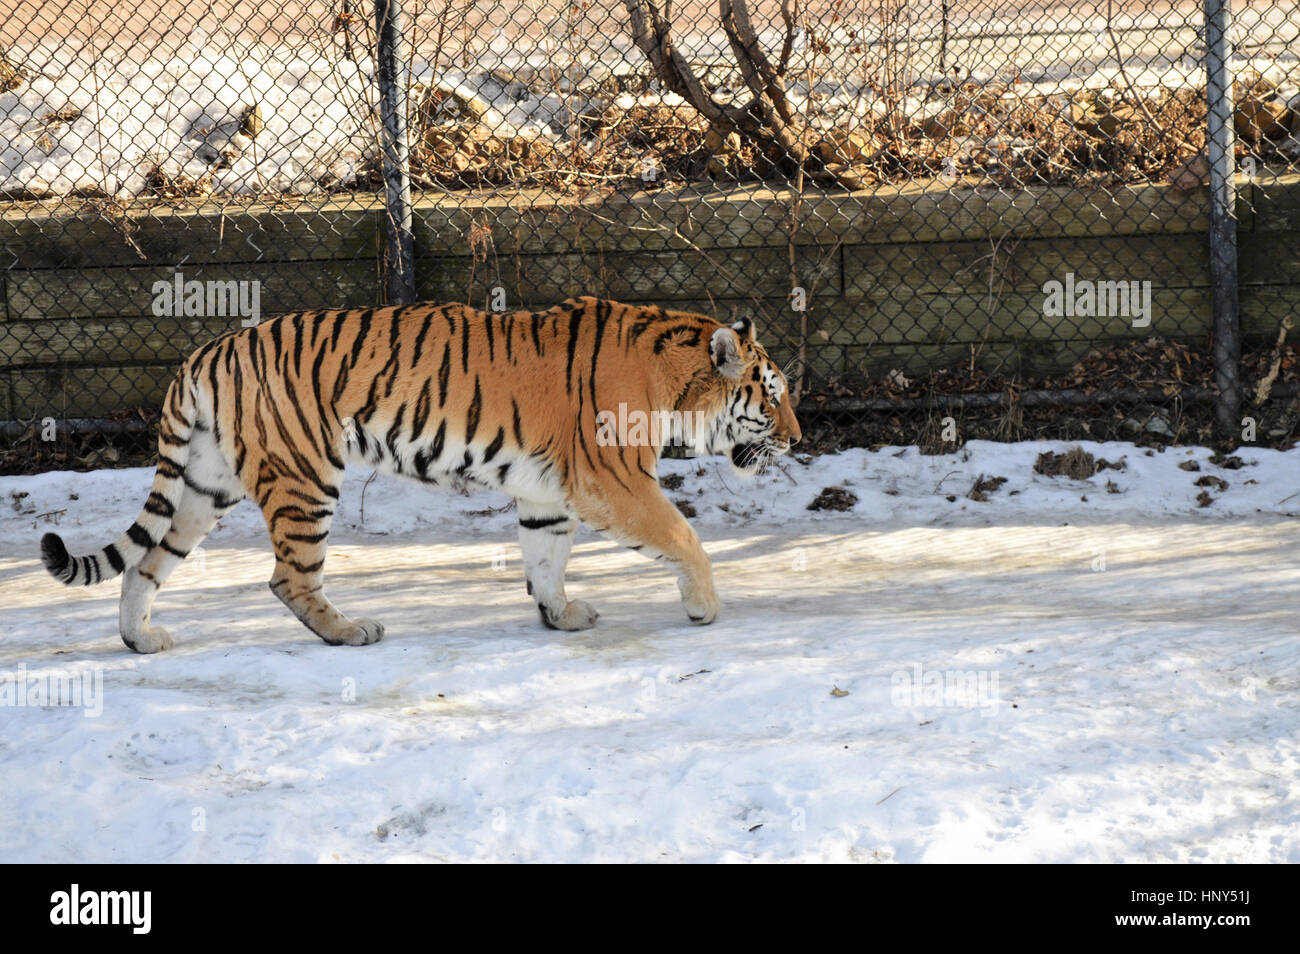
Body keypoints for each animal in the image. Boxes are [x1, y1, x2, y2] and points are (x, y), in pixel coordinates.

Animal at [38, 297, 802, 653]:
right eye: (773, 397)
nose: (798, 439)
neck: (676, 383)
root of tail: (205, 352)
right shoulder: (613, 482)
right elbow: (683, 537)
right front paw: (703, 607)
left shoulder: (548, 492)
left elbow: (546, 558)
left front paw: (559, 615)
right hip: (305, 479)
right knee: (289, 578)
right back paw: (350, 632)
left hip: (205, 483)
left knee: (145, 564)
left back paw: (141, 640)